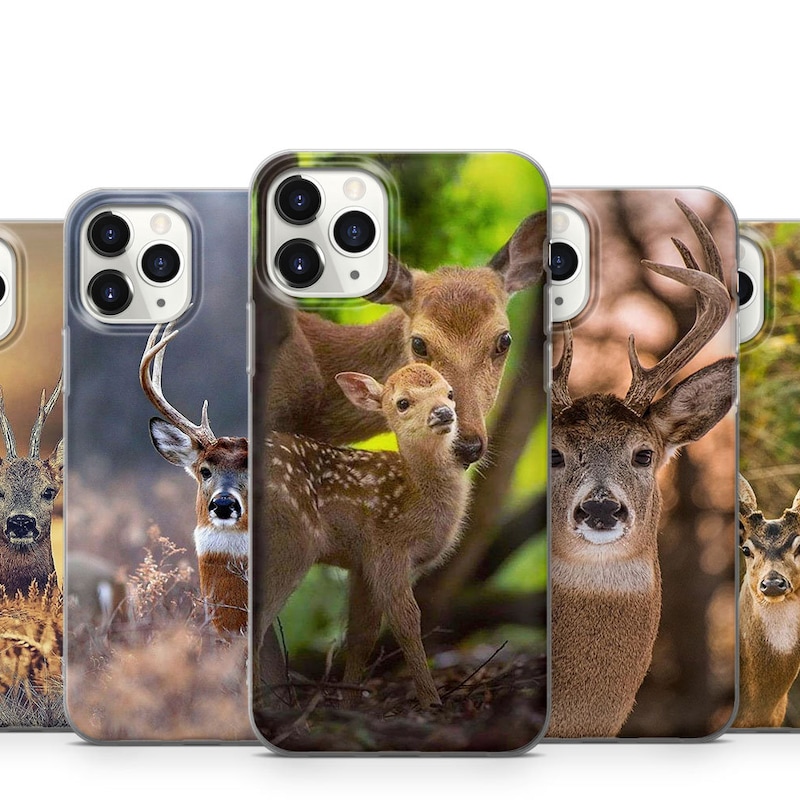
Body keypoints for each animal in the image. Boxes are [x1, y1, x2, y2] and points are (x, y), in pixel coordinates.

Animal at [256, 362, 470, 709]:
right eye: (402, 403)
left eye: (449, 393)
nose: (443, 413)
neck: (414, 493)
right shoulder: (388, 547)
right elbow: (406, 620)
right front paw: (431, 701)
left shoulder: (362, 562)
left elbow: (361, 634)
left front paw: (349, 701)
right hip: (290, 539)